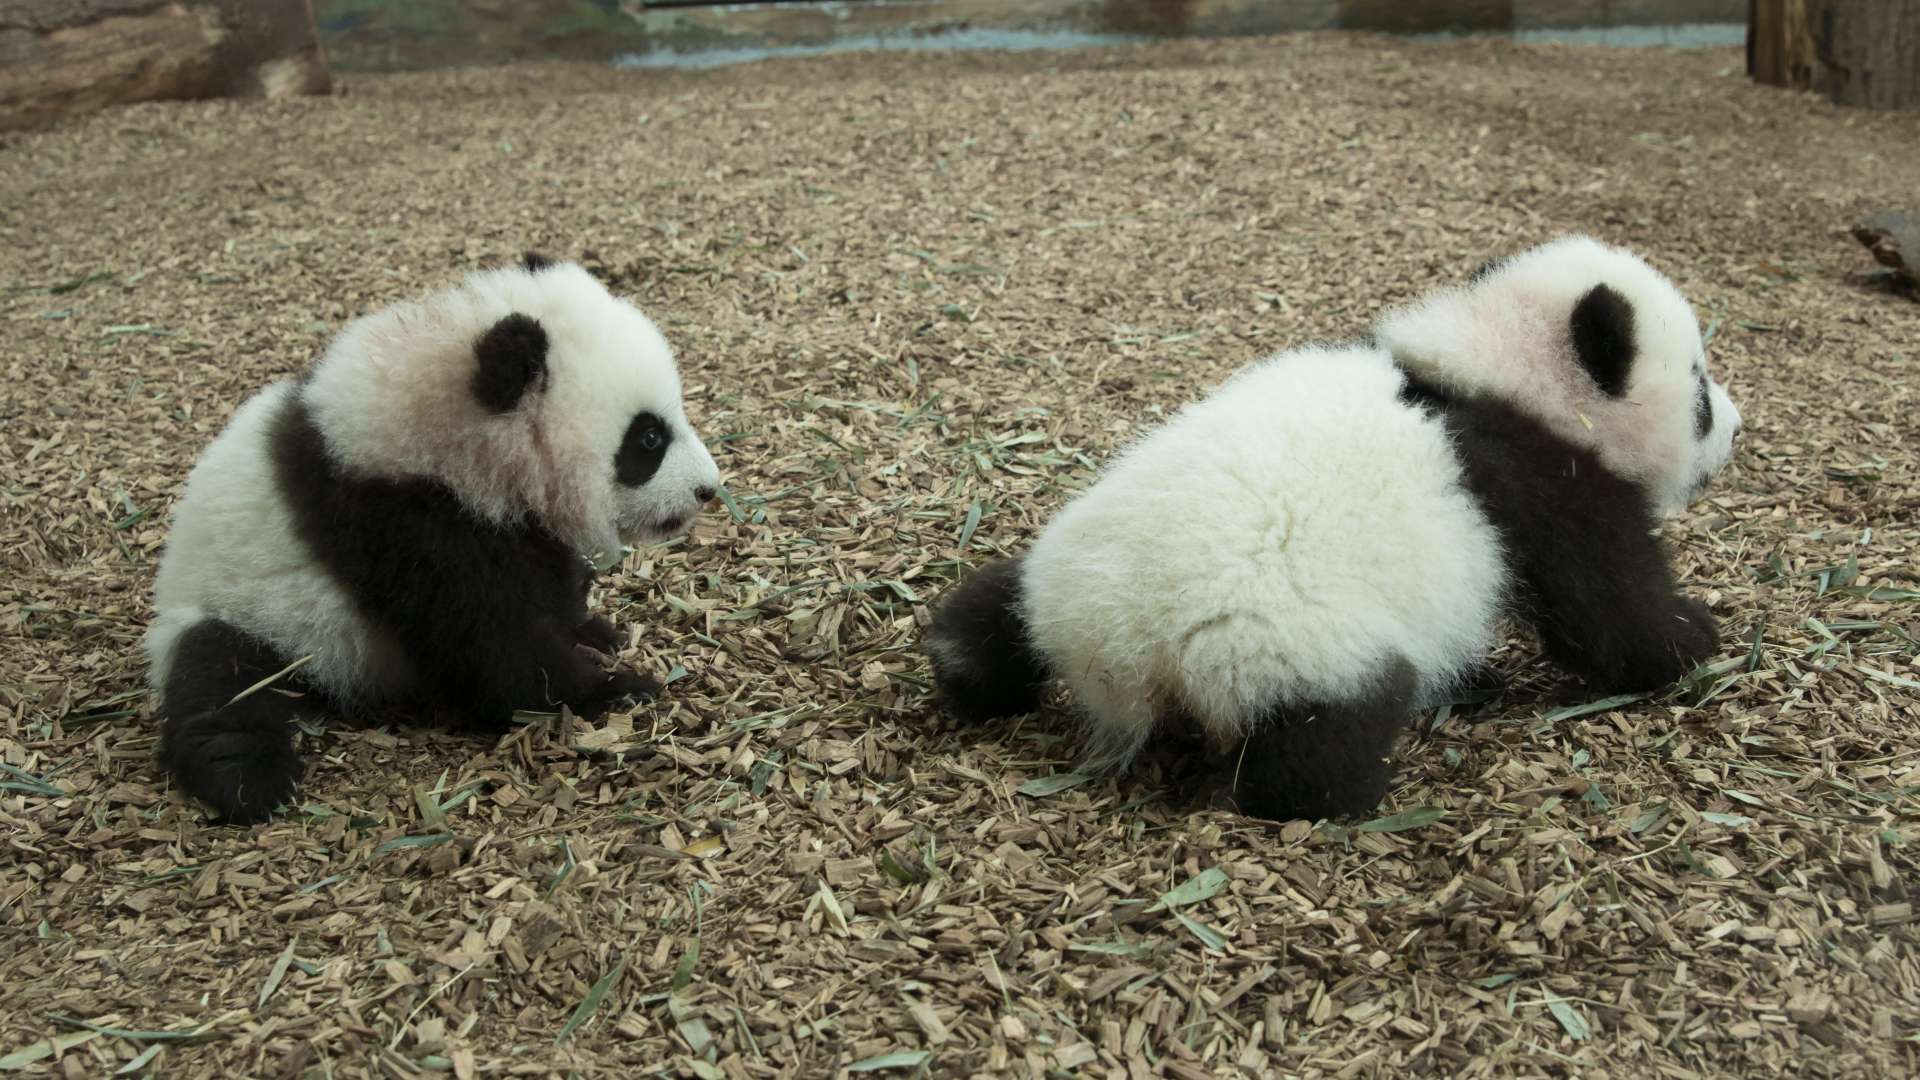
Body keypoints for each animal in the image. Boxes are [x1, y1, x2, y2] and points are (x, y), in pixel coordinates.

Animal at [147, 253, 722, 823]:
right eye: (649, 438)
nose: (708, 490)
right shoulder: (403, 527)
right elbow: (491, 643)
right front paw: (615, 690)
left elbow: (545, 582)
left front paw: (593, 632)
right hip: (246, 609)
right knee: (223, 683)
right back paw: (249, 781)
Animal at [923, 235, 1741, 822]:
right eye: (1701, 393)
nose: (1737, 429)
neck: (1487, 367)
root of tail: (1113, 648)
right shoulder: (1537, 481)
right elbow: (1606, 603)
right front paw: (1693, 637)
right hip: (1284, 645)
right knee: (1317, 748)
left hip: (1061, 559)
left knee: (987, 619)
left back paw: (971, 661)